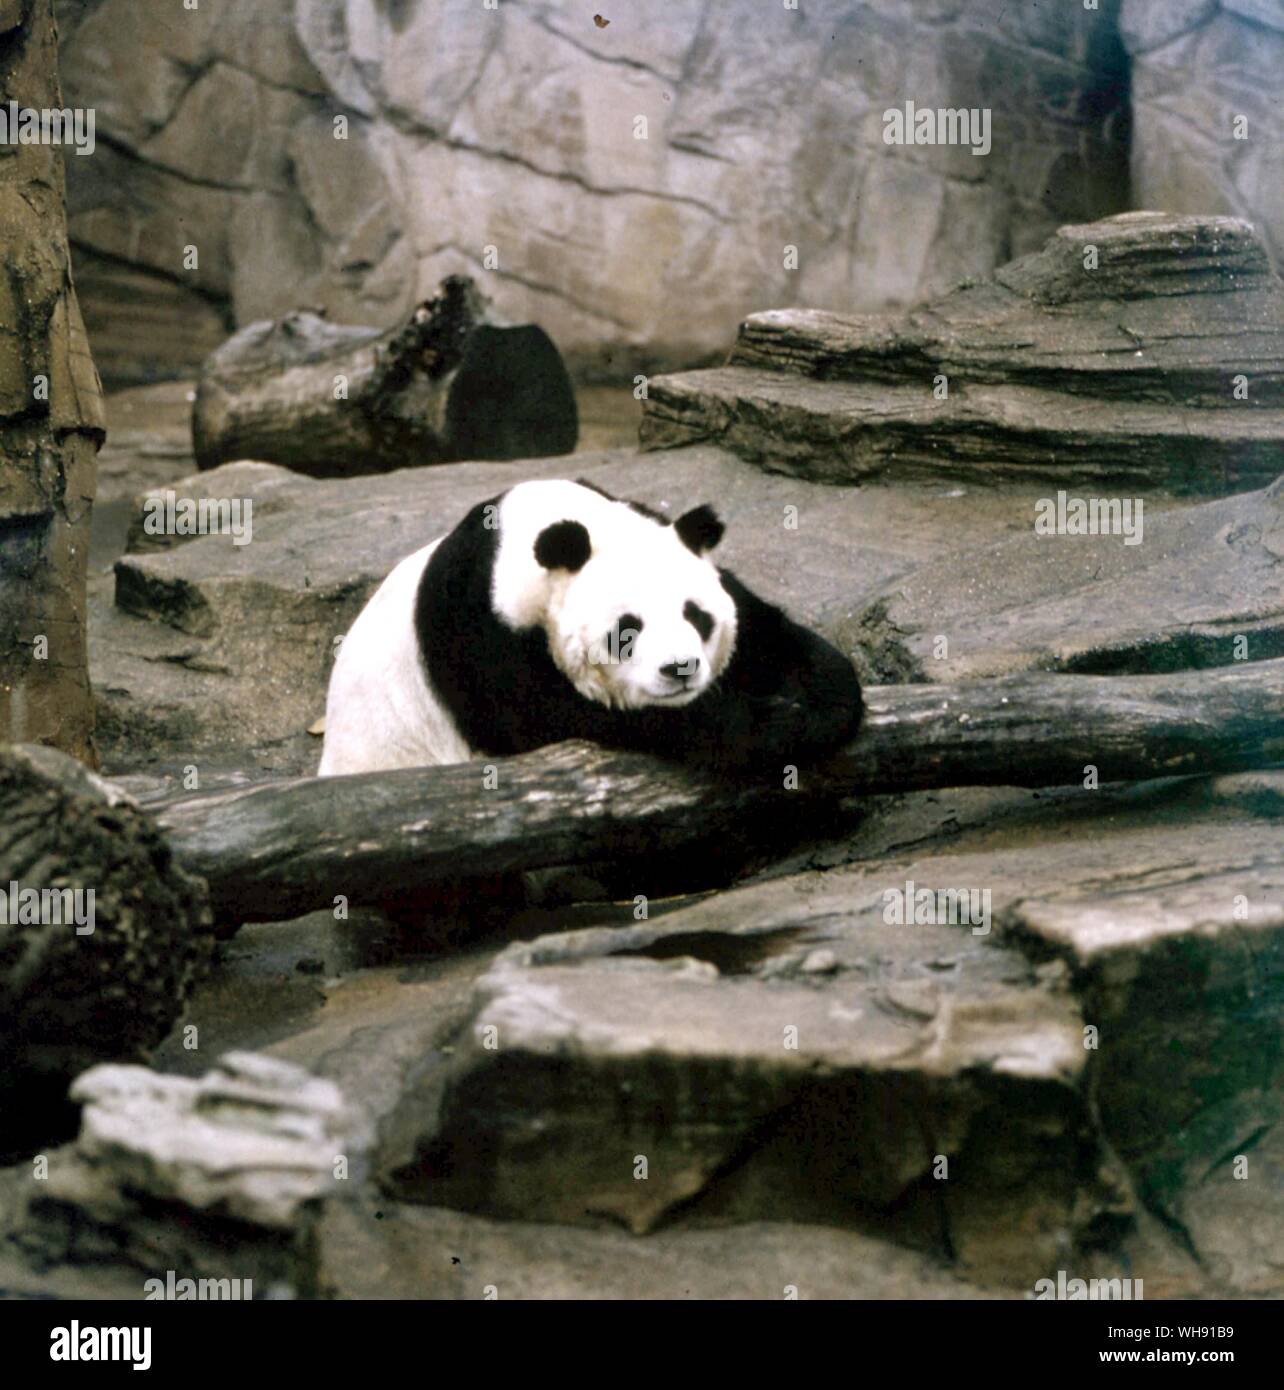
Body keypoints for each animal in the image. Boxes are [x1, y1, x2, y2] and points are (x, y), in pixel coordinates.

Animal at [317, 478, 863, 778]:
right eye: (627, 630)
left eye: (697, 616)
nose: (680, 669)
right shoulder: (482, 636)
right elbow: (568, 717)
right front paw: (762, 725)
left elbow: (765, 633)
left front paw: (820, 702)